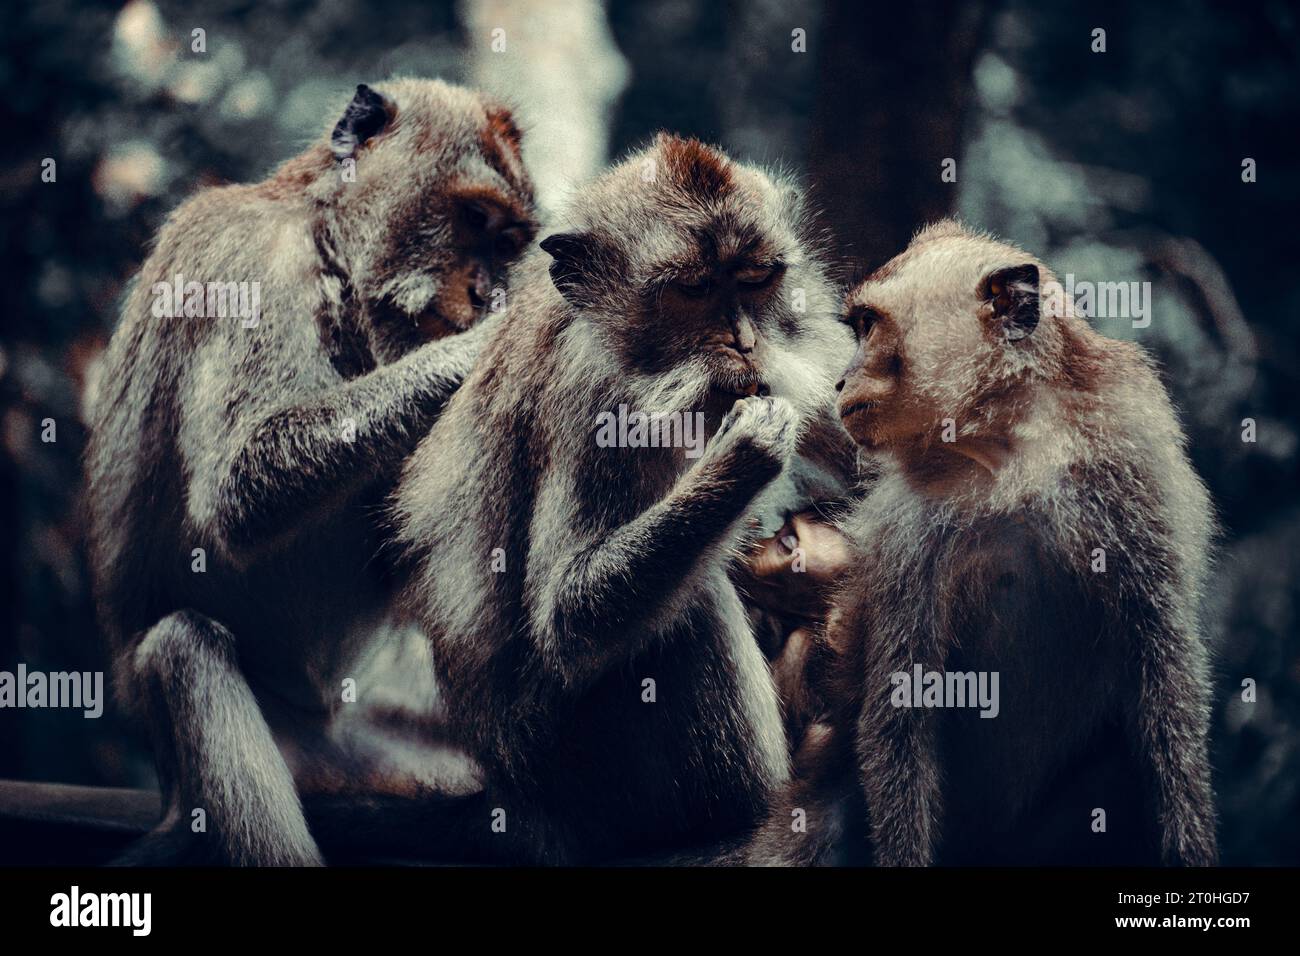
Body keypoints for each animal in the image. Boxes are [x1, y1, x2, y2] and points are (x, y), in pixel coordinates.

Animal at [84, 78, 538, 865]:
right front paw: (480, 347)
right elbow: (236, 488)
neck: (328, 250)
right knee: (184, 648)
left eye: (509, 241)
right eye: (473, 218)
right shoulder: (249, 265)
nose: (488, 293)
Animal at [390, 133, 854, 864]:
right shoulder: (589, 394)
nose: (745, 342)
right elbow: (568, 614)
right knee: (691, 606)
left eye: (756, 277)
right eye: (692, 288)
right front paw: (744, 453)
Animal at [746, 220, 1218, 866]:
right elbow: (901, 710)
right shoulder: (907, 529)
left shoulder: (1132, 463)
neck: (1006, 448)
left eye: (868, 325)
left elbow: (1163, 675)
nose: (841, 379)